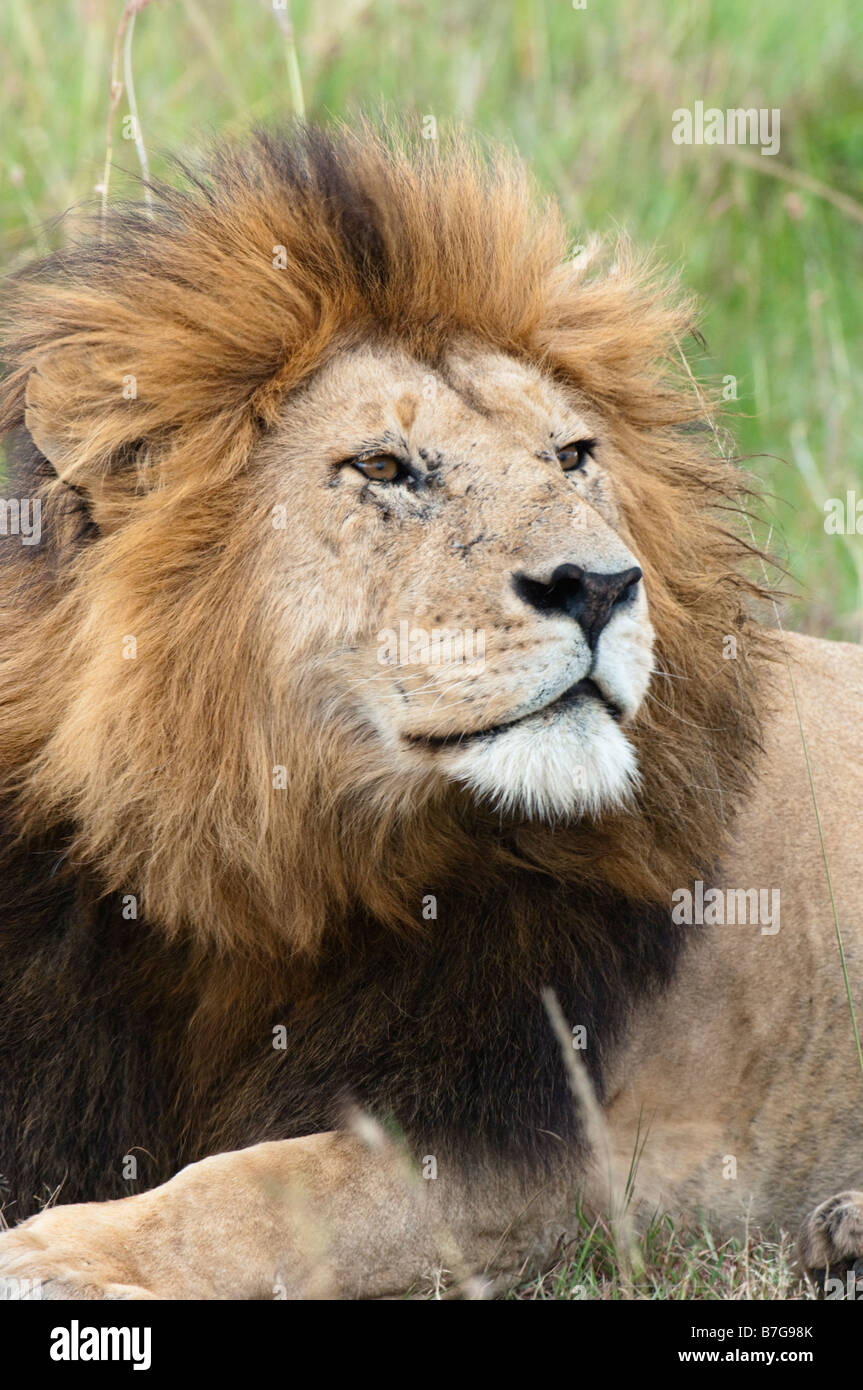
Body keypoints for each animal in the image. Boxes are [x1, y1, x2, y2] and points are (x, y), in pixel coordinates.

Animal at [0, 124, 860, 1300]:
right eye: (383, 466)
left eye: (571, 456)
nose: (602, 585)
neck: (264, 870)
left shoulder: (543, 1159)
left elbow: (257, 1192)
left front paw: (62, 1251)